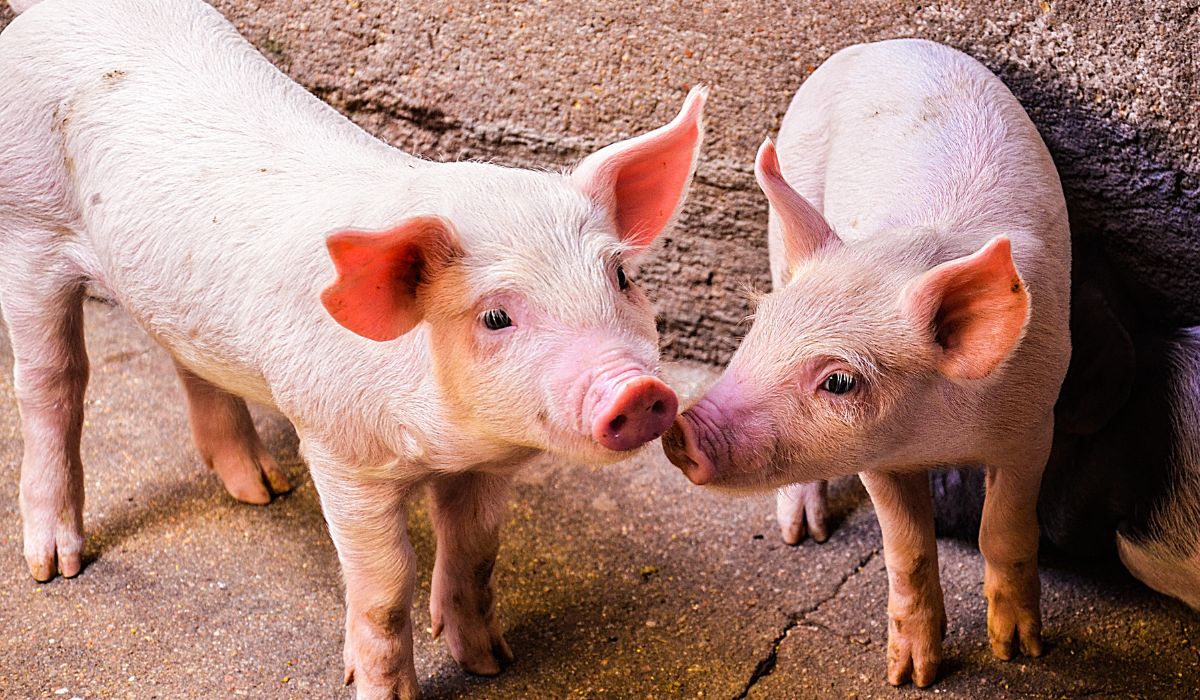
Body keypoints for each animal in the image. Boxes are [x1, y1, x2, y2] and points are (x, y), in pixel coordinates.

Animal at [0, 0, 703, 697]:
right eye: (496, 316)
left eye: (621, 277)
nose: (638, 390)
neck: (445, 445)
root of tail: (46, 12)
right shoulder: (339, 449)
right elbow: (387, 583)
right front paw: (385, 689)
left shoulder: (486, 466)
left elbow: (476, 553)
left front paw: (493, 664)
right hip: (27, 225)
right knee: (52, 381)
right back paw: (56, 567)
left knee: (186, 355)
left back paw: (263, 491)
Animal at [663, 38, 1071, 686]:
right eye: (758, 327)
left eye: (840, 381)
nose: (680, 431)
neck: (942, 436)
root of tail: (883, 44)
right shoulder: (875, 456)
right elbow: (908, 549)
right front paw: (910, 677)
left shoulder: (1035, 419)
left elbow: (1003, 529)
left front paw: (1020, 652)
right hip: (783, 221)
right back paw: (801, 536)